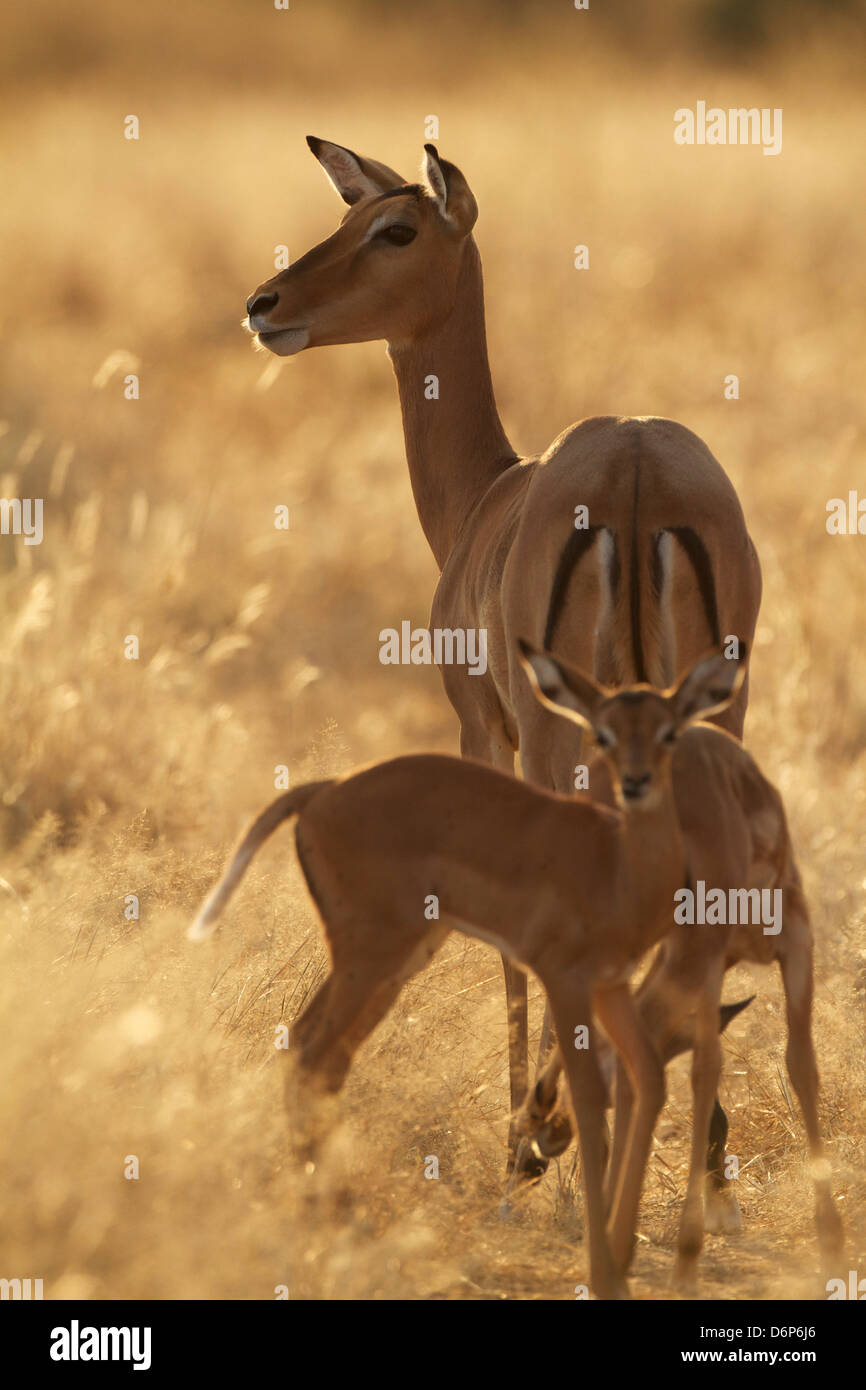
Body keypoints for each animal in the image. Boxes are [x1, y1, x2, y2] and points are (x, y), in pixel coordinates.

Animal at [188, 644, 831, 1298]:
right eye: (603, 733)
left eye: (668, 731)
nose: (636, 782)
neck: (619, 864)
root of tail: (322, 792)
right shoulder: (569, 979)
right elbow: (598, 1094)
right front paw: (607, 1271)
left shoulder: (613, 984)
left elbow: (646, 1077)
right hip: (374, 958)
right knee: (312, 1052)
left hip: (394, 962)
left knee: (316, 1053)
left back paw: (337, 1224)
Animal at [243, 136, 763, 1169]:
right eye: (347, 214)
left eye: (396, 228)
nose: (265, 304)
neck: (485, 498)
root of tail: (638, 468)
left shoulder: (483, 724)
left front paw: (527, 1124)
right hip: (716, 715)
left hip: (567, 731)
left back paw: (552, 1124)